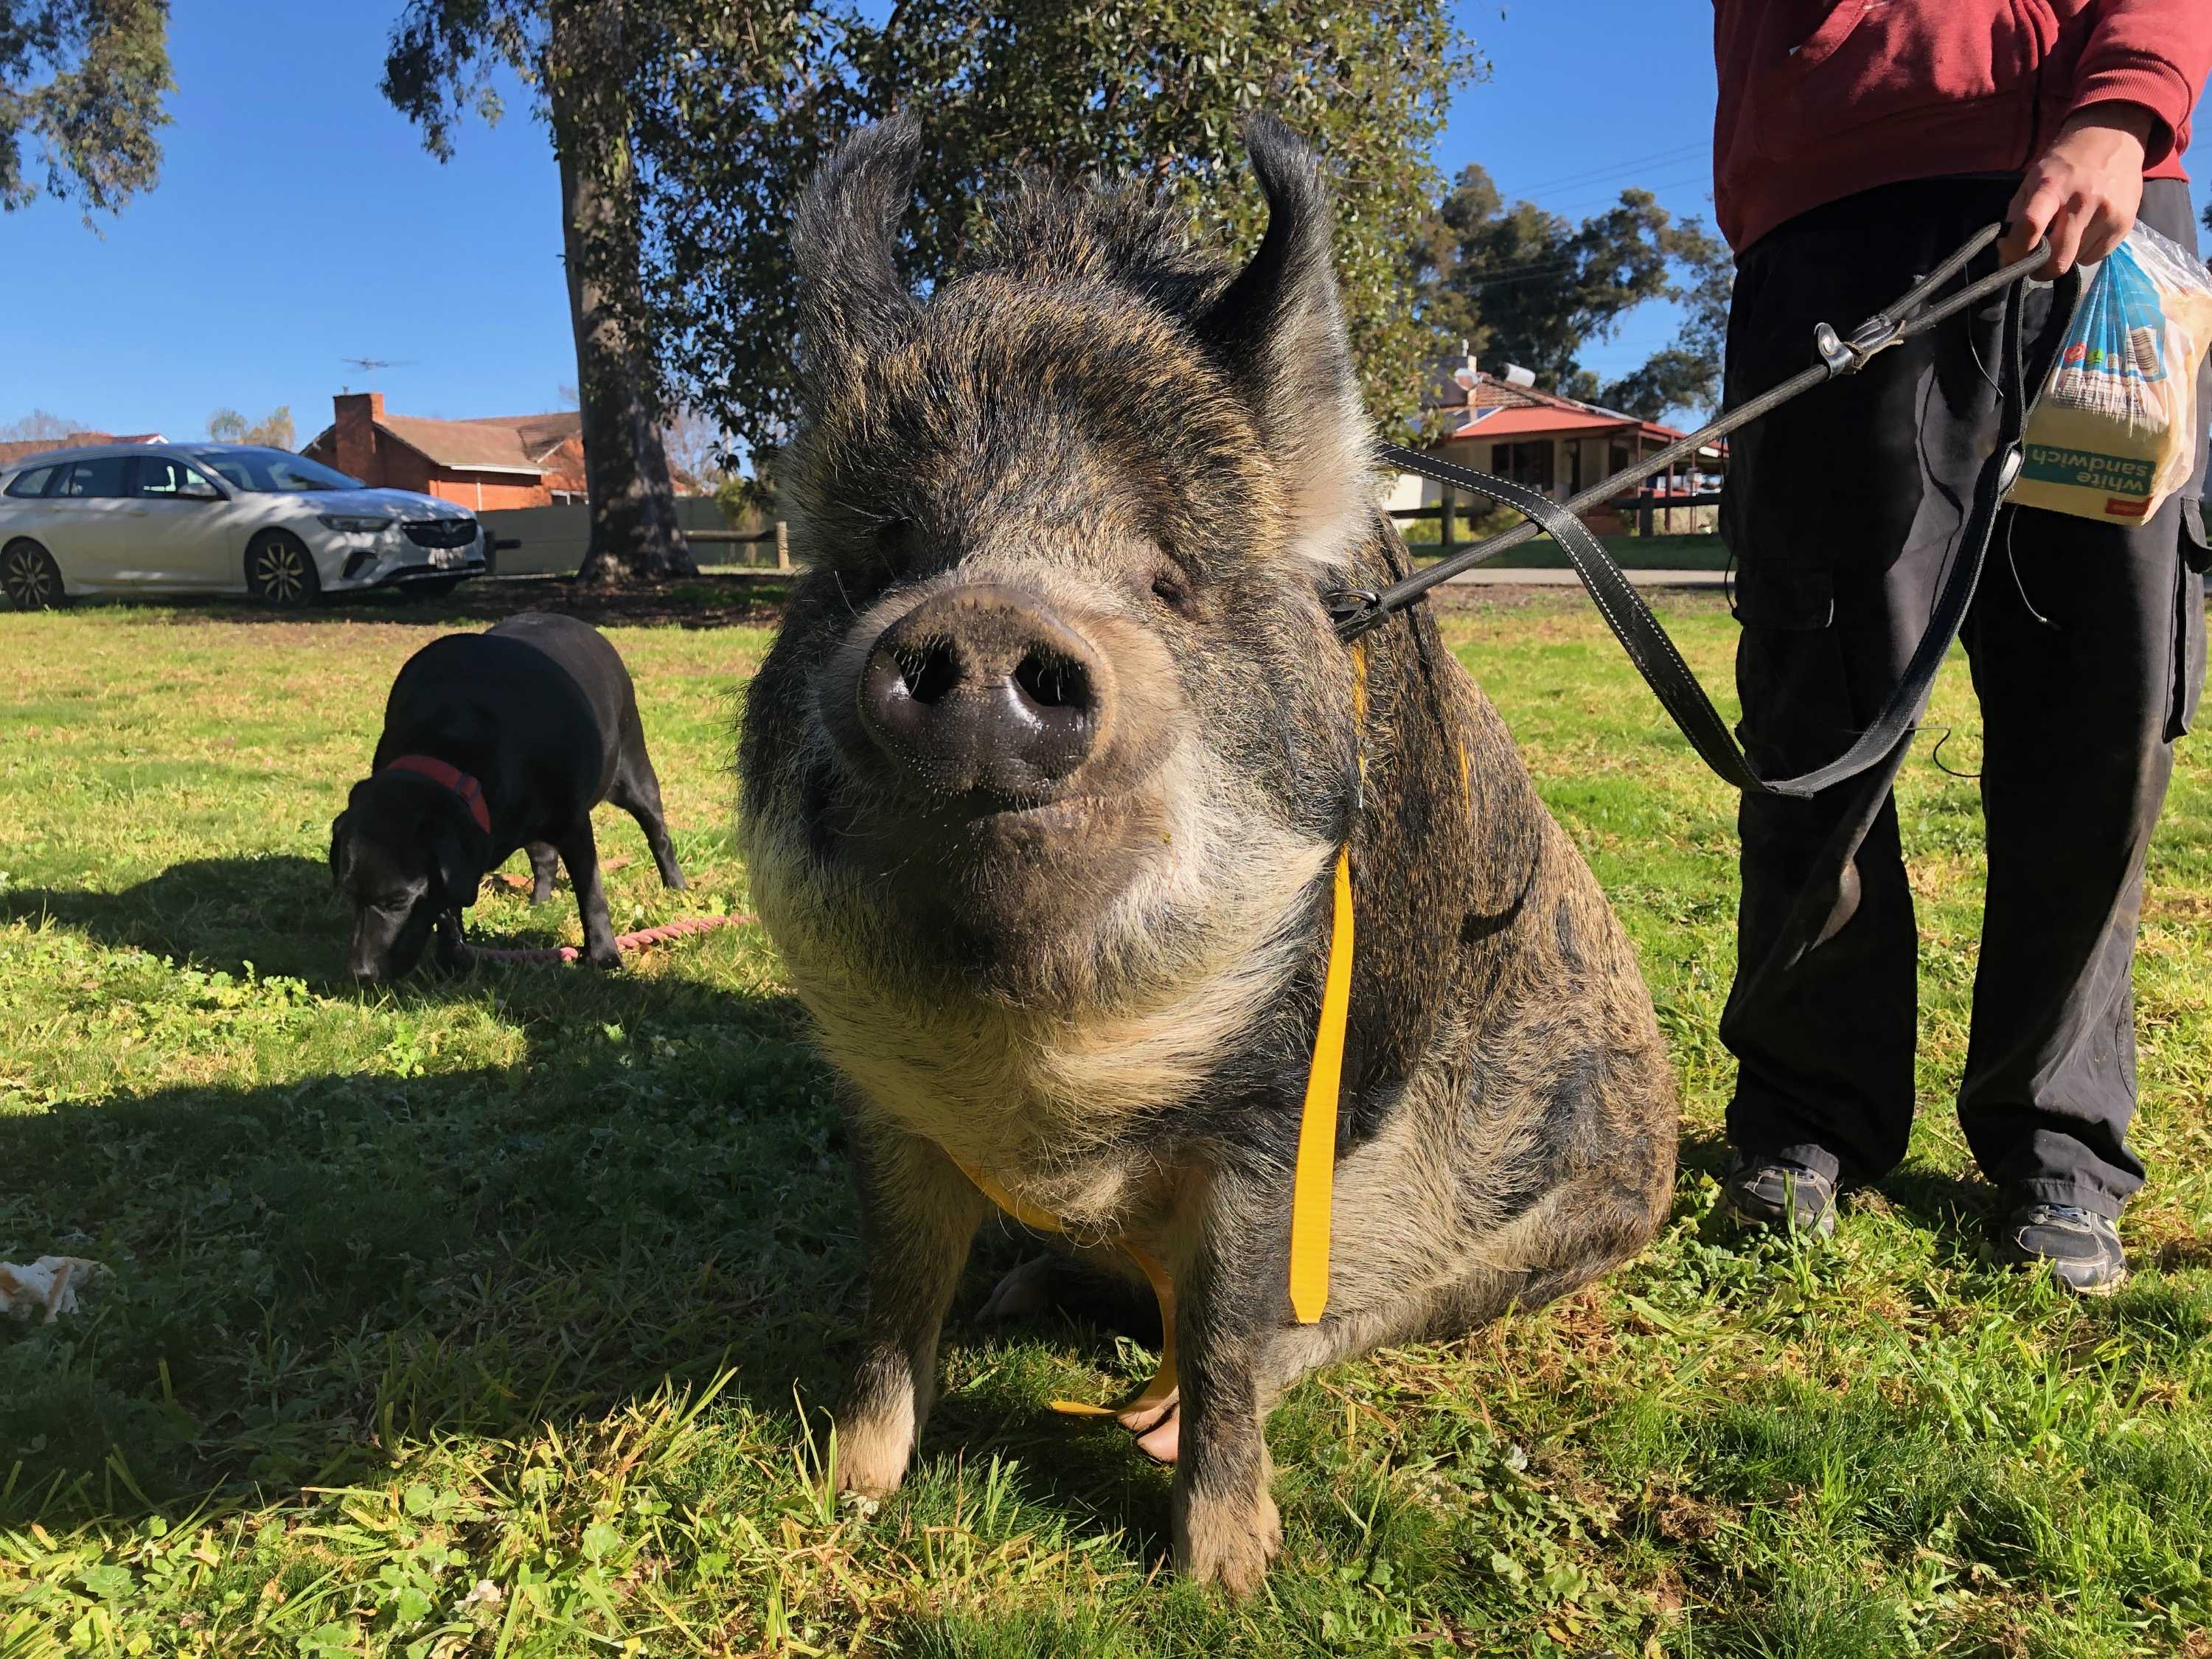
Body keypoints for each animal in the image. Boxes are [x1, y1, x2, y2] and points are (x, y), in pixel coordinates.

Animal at [735, 113, 1678, 1594]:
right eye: (880, 558)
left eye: (1171, 576)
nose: (985, 619)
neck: (1040, 1078)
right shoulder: (884, 1101)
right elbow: (896, 1295)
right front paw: (848, 1495)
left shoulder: (1277, 1113)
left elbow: (1234, 1334)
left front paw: (1226, 1574)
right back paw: (1023, 1292)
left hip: (1580, 1210)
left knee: (1339, 1325)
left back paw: (1154, 1418)